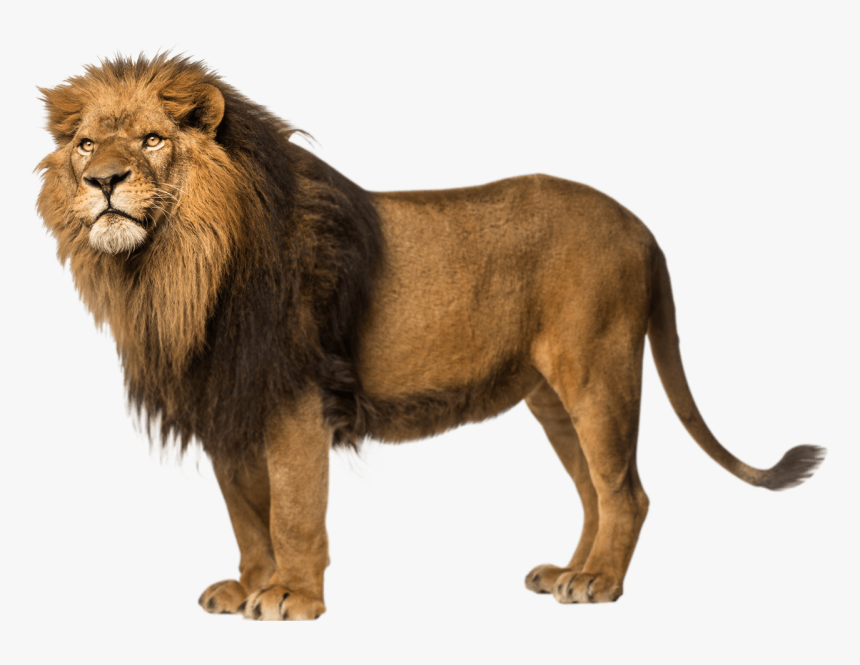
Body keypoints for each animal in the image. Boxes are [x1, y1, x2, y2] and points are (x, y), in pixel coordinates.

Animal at [36, 54, 825, 621]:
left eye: (152, 139)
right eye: (85, 144)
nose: (104, 180)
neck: (173, 270)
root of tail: (642, 226)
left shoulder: (295, 399)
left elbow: (292, 509)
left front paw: (291, 597)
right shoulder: (227, 403)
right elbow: (245, 513)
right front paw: (248, 586)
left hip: (598, 371)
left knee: (626, 490)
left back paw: (599, 582)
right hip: (552, 397)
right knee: (595, 492)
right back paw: (570, 572)